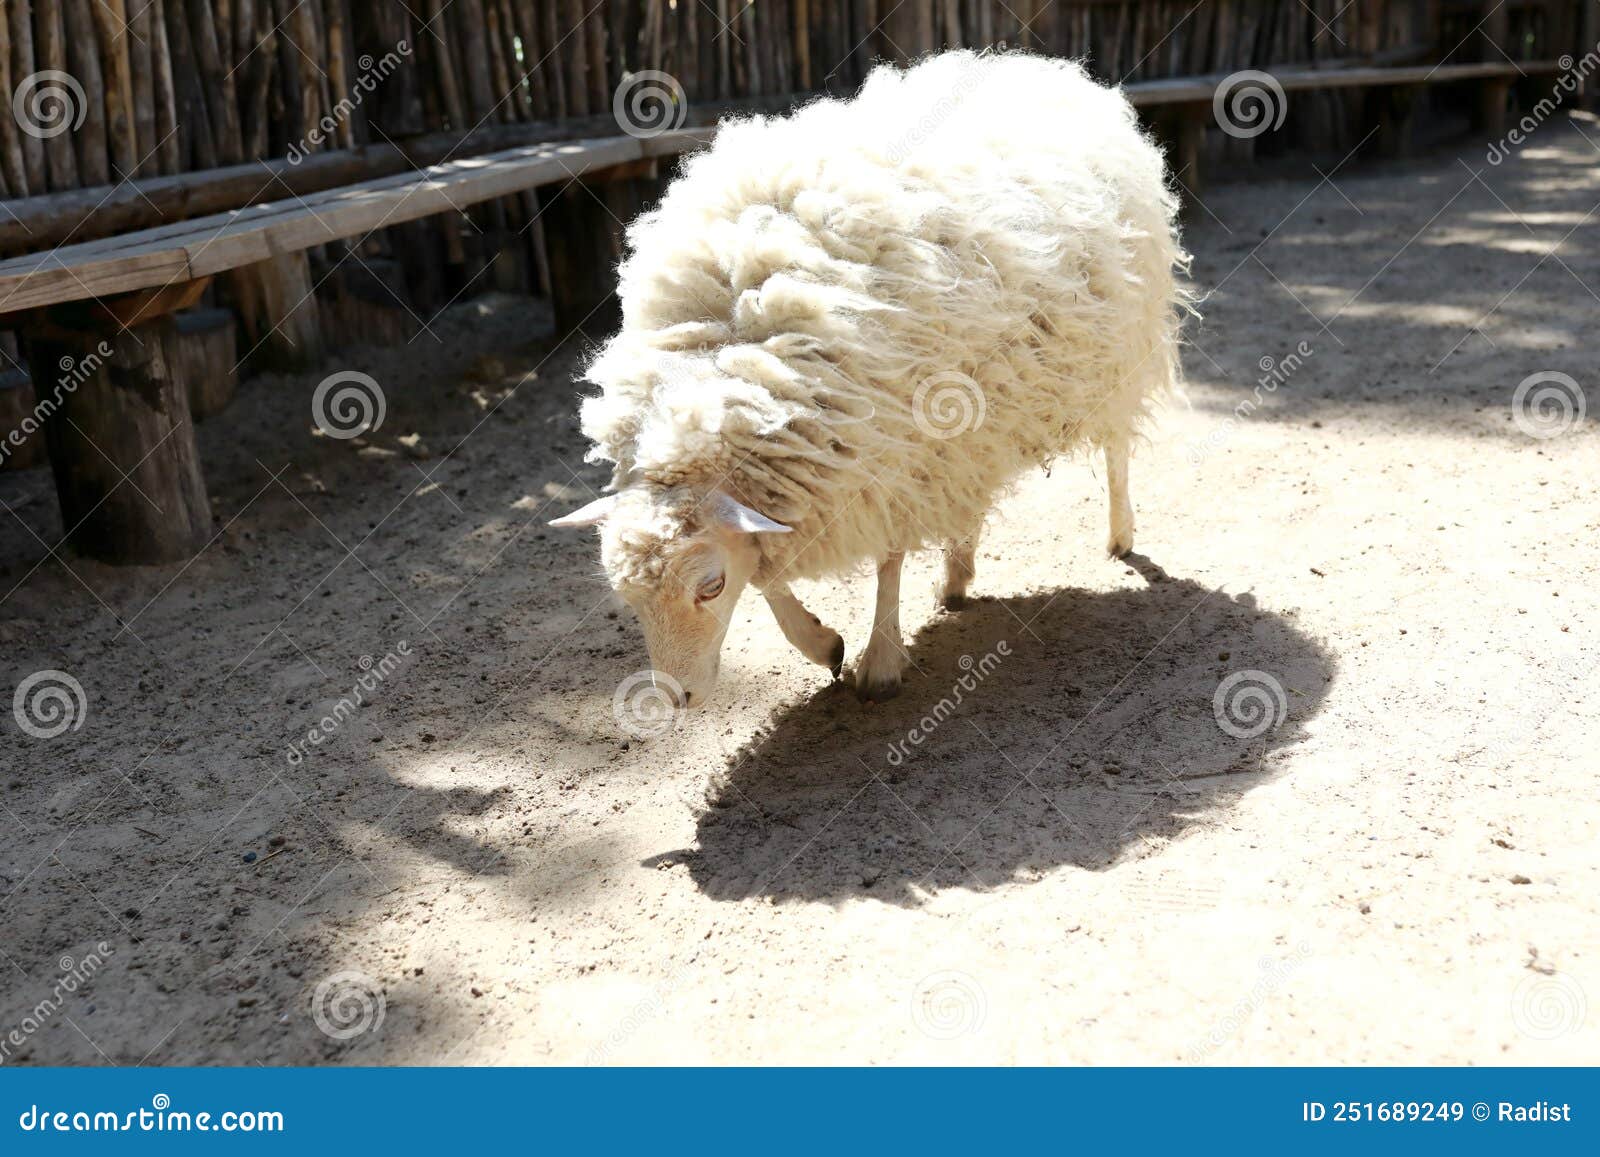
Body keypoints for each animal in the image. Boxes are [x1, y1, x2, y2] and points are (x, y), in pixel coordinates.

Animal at [552, 50, 1187, 708]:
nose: (674, 700)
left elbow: (885, 559)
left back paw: (1119, 534)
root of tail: (1042, 68)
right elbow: (769, 574)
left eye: (710, 586)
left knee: (1116, 447)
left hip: (1117, 353)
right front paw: (819, 642)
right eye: (628, 599)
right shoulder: (838, 473)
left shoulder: (893, 459)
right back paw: (958, 573)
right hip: (974, 418)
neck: (732, 356)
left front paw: (879, 660)